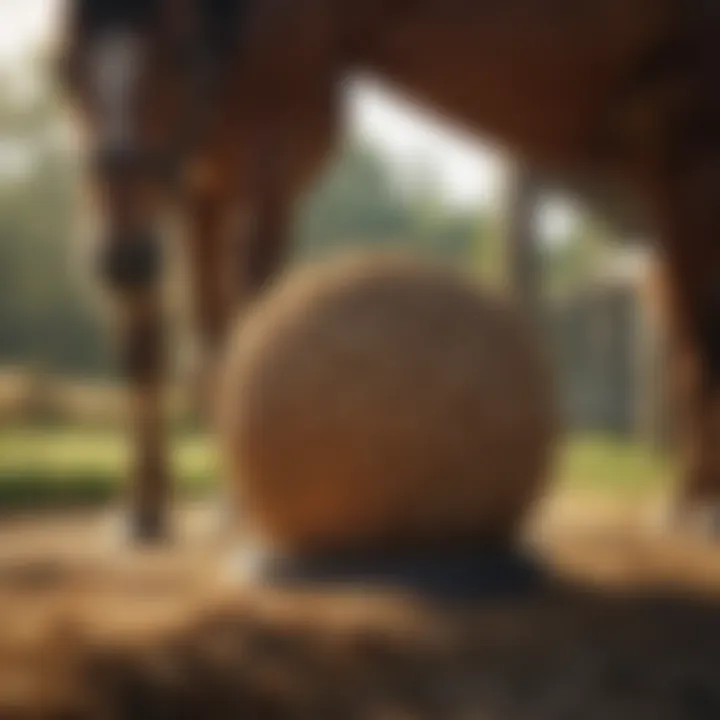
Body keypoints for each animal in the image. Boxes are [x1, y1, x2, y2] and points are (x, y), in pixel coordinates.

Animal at [59, 0, 720, 540]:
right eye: (65, 71)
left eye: (176, 53)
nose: (122, 258)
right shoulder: (208, 172)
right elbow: (186, 335)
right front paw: (151, 509)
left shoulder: (266, 144)